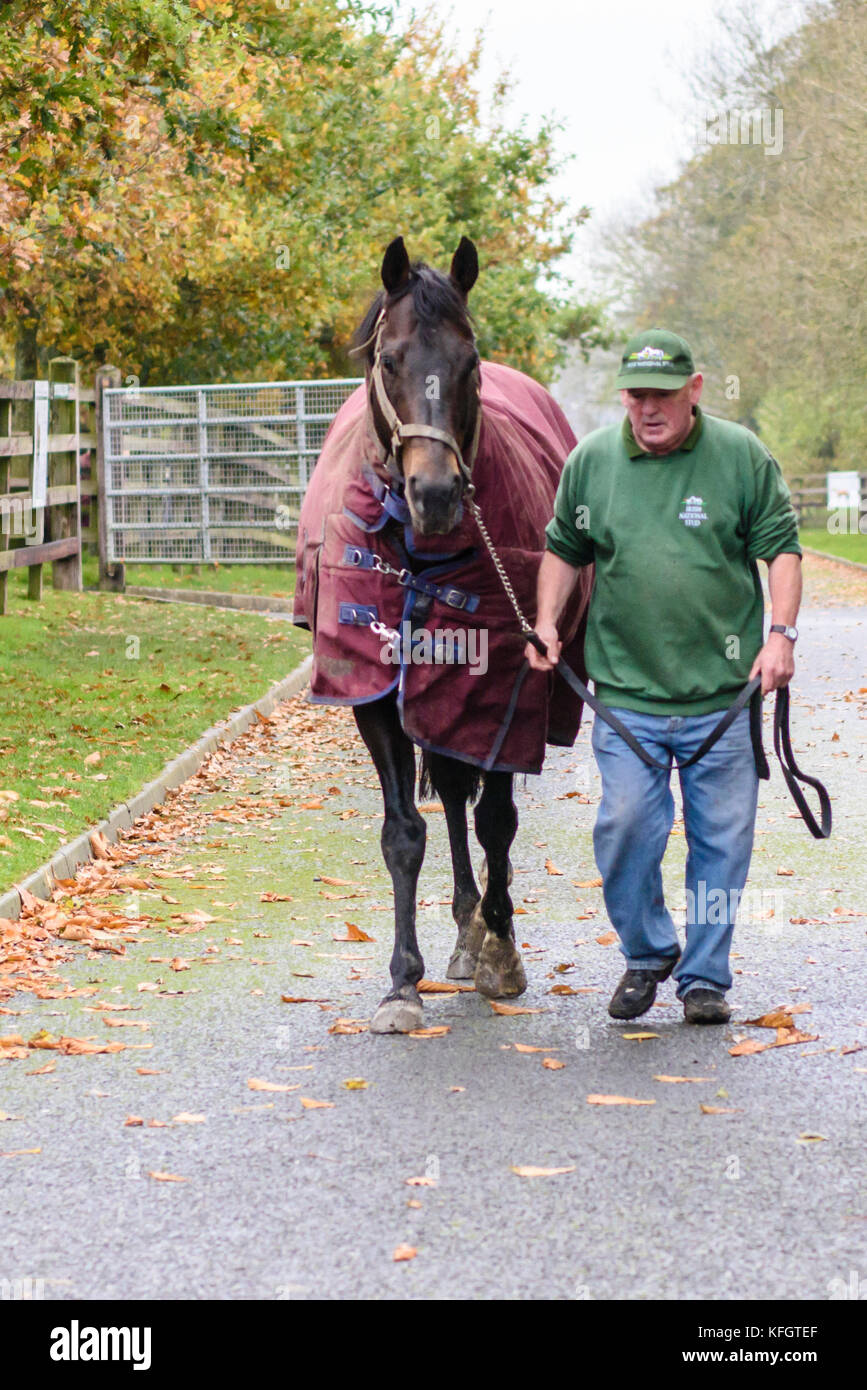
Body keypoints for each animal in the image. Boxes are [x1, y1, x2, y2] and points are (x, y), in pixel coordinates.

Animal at [294, 236, 593, 1033]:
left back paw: (483, 930)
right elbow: (405, 833)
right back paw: (463, 930)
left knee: (474, 800)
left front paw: (502, 954)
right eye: (390, 359)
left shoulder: (505, 687)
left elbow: (496, 820)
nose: (434, 494)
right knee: (452, 795)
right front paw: (402, 984)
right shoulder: (372, 691)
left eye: (469, 359)